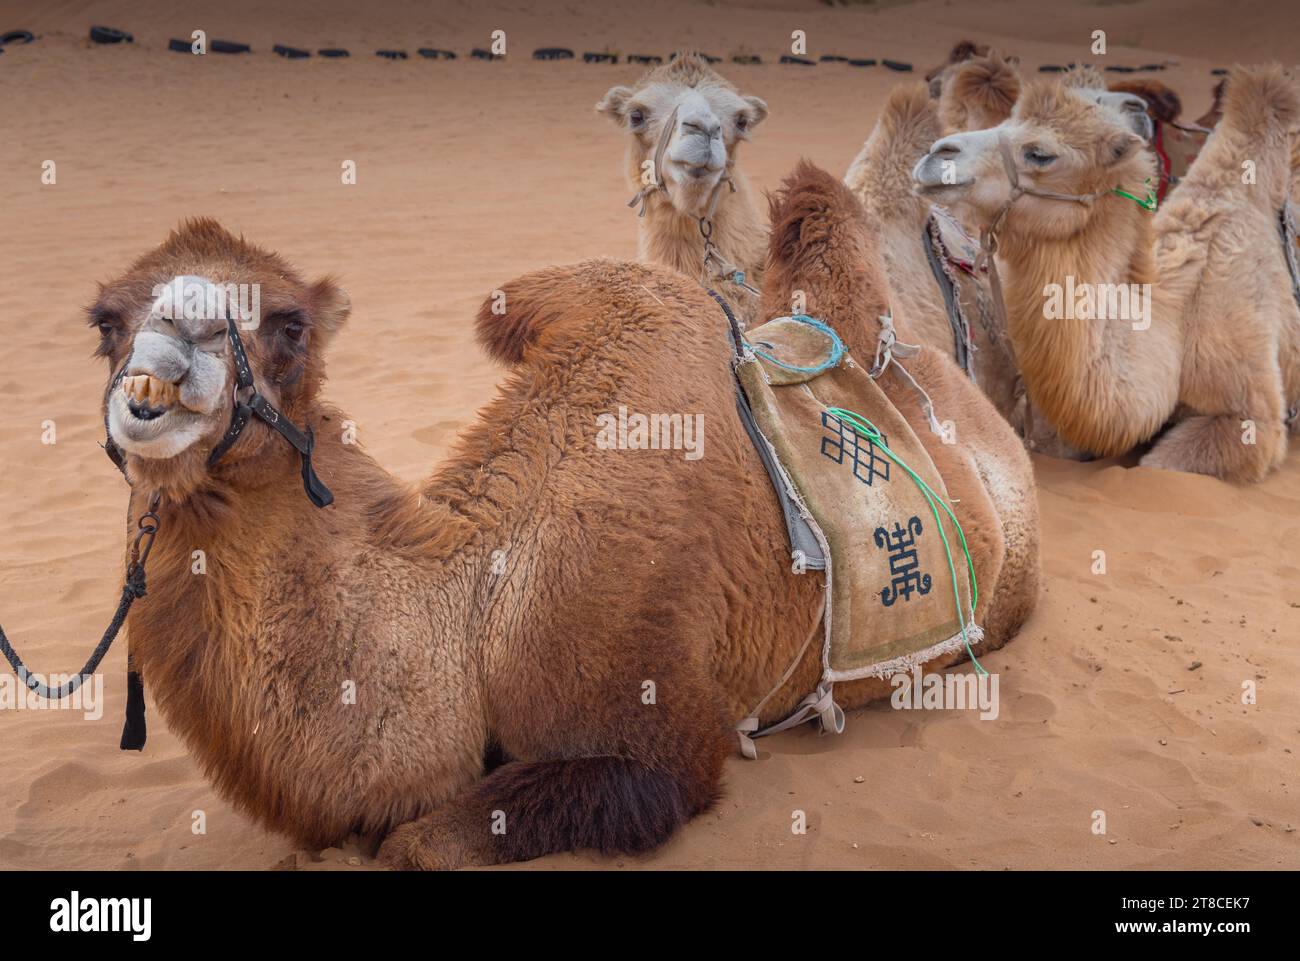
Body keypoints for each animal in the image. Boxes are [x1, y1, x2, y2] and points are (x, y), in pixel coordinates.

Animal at [90, 199, 1036, 868]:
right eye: (105, 320)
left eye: (288, 325)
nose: (163, 370)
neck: (480, 604)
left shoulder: (658, 741)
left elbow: (418, 846)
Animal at [913, 64, 1300, 481]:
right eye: (1001, 121)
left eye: (1040, 154)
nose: (936, 154)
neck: (1176, 323)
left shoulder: (1251, 418)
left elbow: (1160, 463)